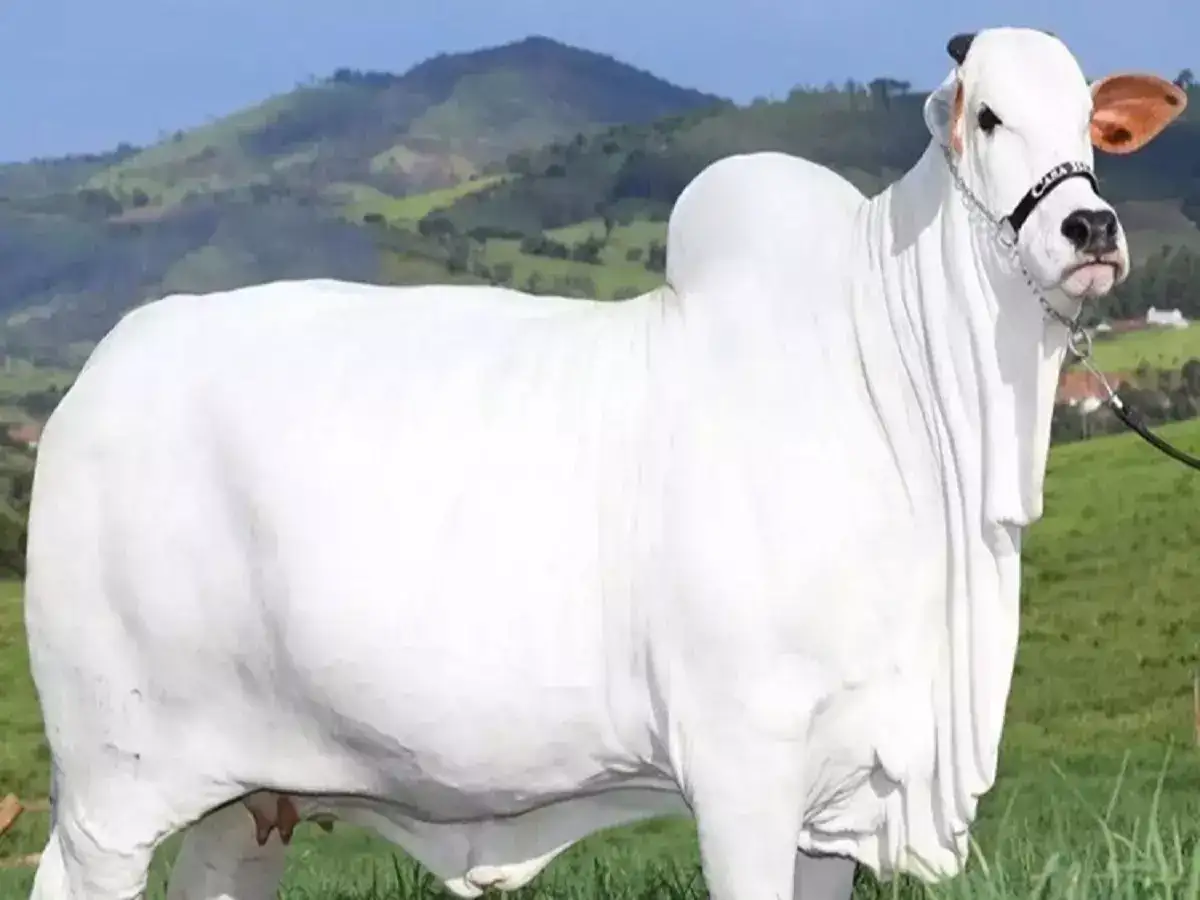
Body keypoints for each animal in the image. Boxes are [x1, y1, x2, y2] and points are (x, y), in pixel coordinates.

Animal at [23, 26, 1186, 900]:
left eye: (1091, 124)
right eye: (988, 117)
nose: (1092, 227)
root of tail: (98, 378)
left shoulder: (838, 791)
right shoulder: (742, 767)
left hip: (246, 804)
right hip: (111, 792)